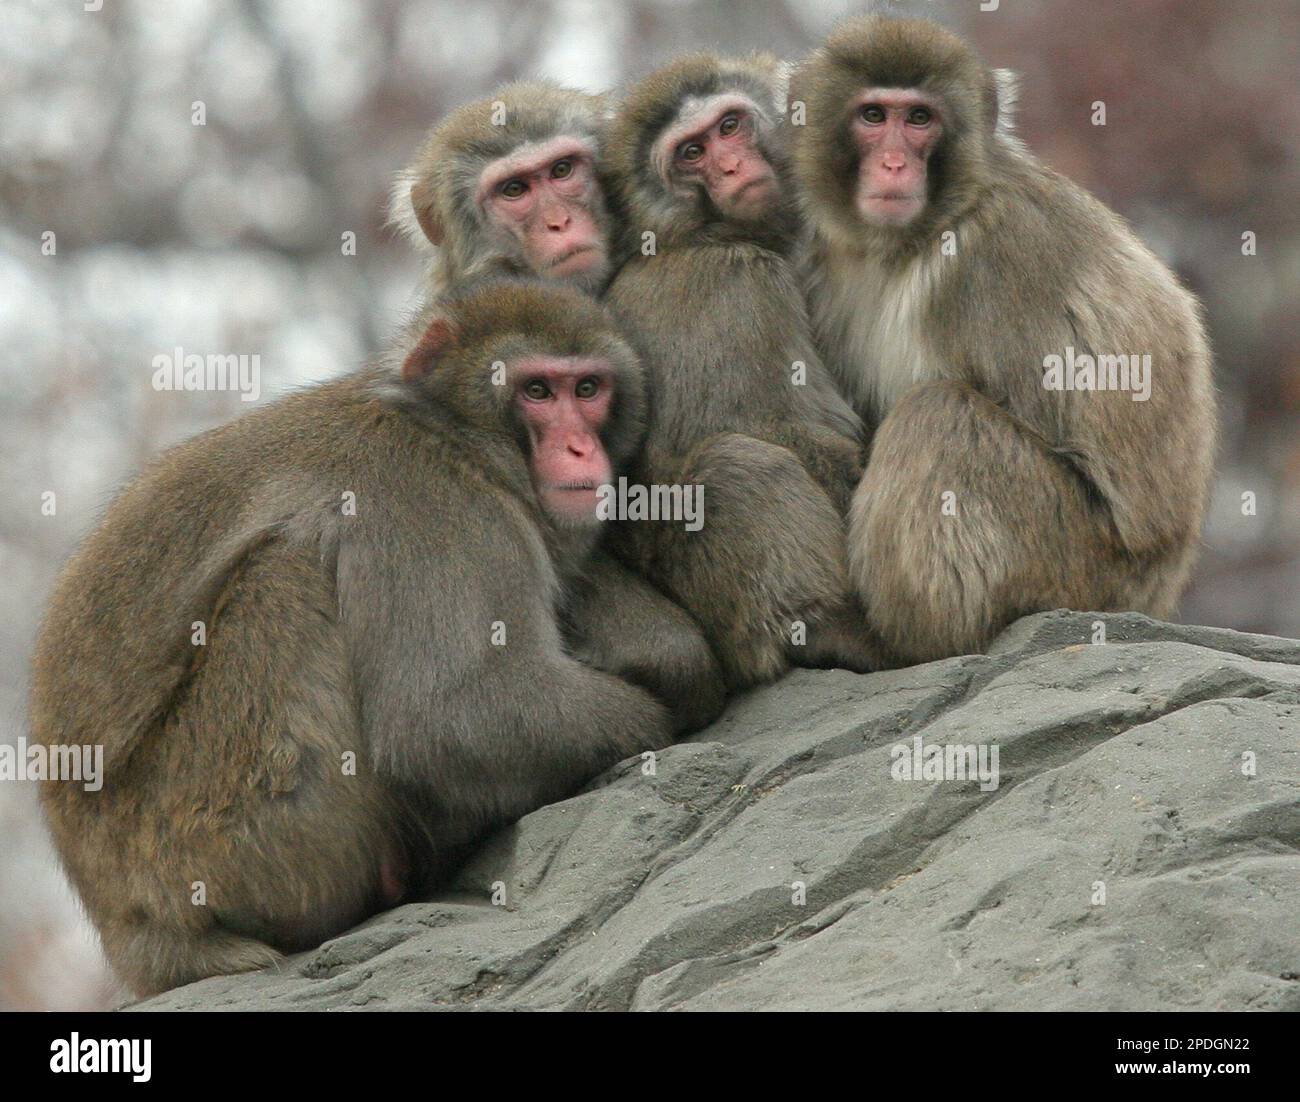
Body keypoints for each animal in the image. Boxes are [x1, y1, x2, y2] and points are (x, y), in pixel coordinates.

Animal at [29, 280, 723, 997]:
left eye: (588, 388)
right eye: (536, 391)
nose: (582, 449)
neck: (452, 438)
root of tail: (134, 939)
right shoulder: (433, 508)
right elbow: (457, 718)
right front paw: (665, 702)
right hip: (218, 834)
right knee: (289, 575)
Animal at [600, 52, 884, 691]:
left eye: (729, 127)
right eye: (691, 153)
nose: (731, 165)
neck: (700, 235)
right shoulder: (742, 286)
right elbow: (777, 432)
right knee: (737, 466)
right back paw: (824, 629)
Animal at [789, 17, 1217, 666]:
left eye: (920, 119)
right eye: (873, 116)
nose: (893, 164)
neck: (921, 234)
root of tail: (1159, 591)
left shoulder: (999, 255)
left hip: (1077, 566)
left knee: (937, 416)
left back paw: (904, 643)